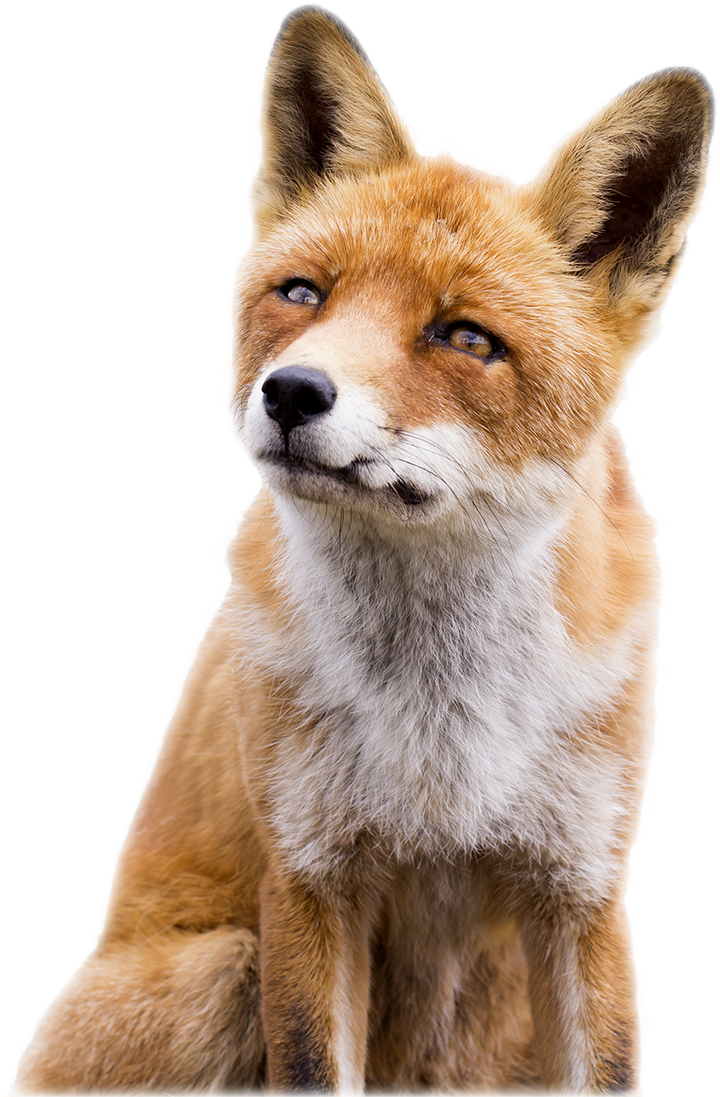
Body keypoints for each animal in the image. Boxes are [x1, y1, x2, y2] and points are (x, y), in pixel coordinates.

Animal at [15, 5, 715, 1095]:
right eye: (303, 293)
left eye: (466, 338)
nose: (293, 391)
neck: (442, 732)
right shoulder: (311, 882)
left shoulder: (580, 891)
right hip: (225, 965)